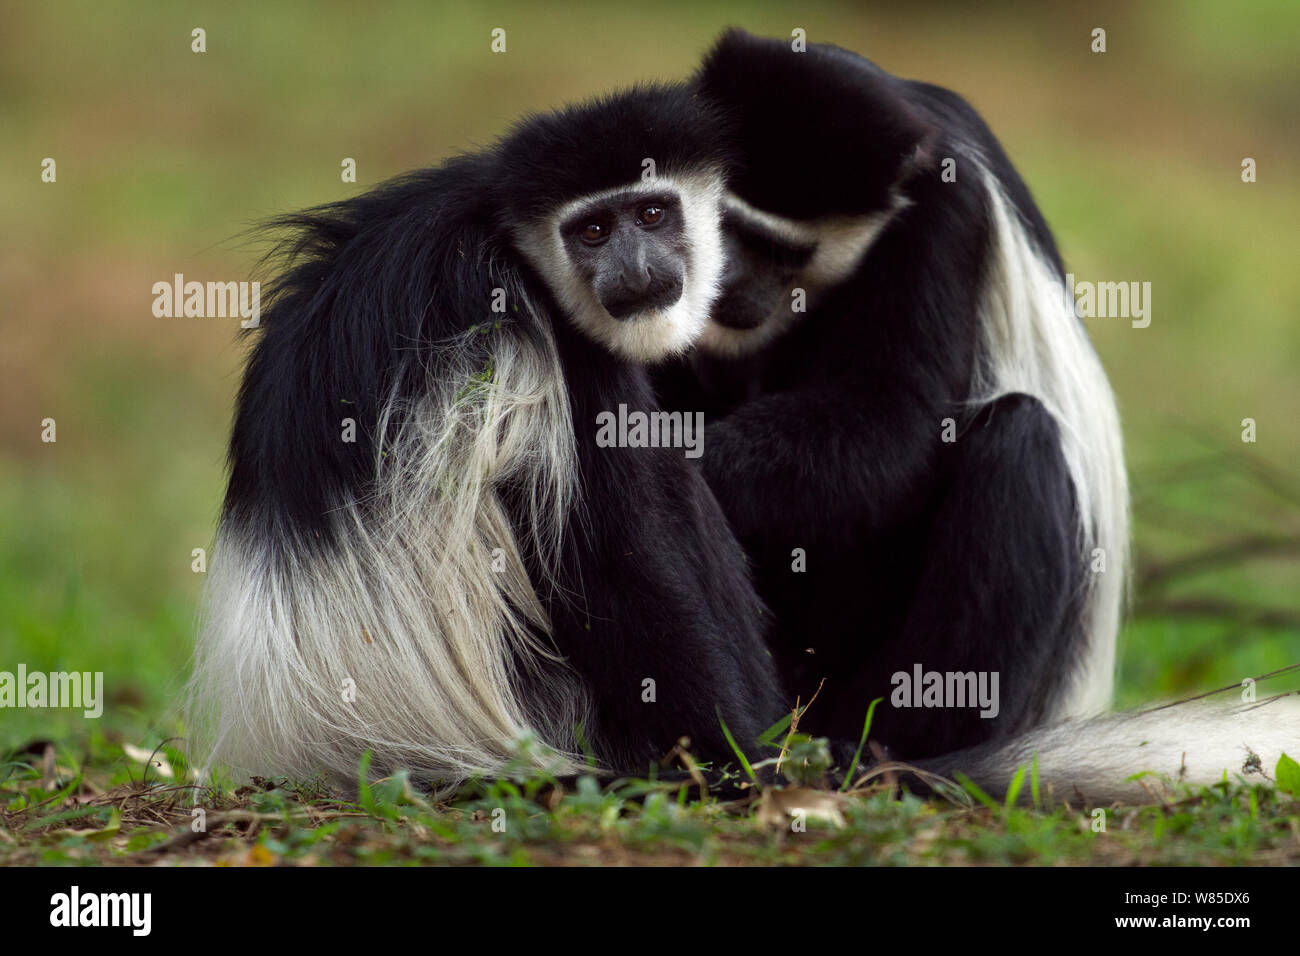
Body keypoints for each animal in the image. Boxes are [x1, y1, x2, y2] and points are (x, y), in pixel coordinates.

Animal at [187, 83, 788, 794]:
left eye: (651, 213)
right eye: (592, 231)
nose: (637, 271)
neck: (509, 237)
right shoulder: (533, 340)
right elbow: (605, 561)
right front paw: (734, 766)